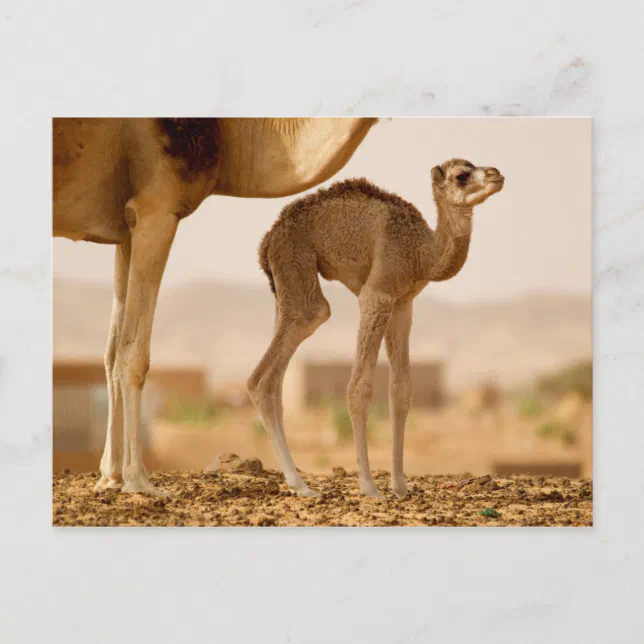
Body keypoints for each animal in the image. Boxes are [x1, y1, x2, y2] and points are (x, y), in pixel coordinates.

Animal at [53, 117, 378, 496]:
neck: (224, 133)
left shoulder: (125, 228)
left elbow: (111, 351)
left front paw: (111, 476)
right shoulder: (156, 208)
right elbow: (134, 353)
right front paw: (139, 480)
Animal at [249, 159, 504, 498]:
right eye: (462, 175)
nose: (496, 175)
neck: (421, 252)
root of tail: (267, 241)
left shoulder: (403, 303)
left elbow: (401, 390)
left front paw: (400, 485)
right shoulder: (377, 294)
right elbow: (359, 387)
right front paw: (369, 486)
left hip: (283, 287)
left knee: (275, 379)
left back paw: (298, 481)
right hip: (296, 265)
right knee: (275, 363)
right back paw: (302, 486)